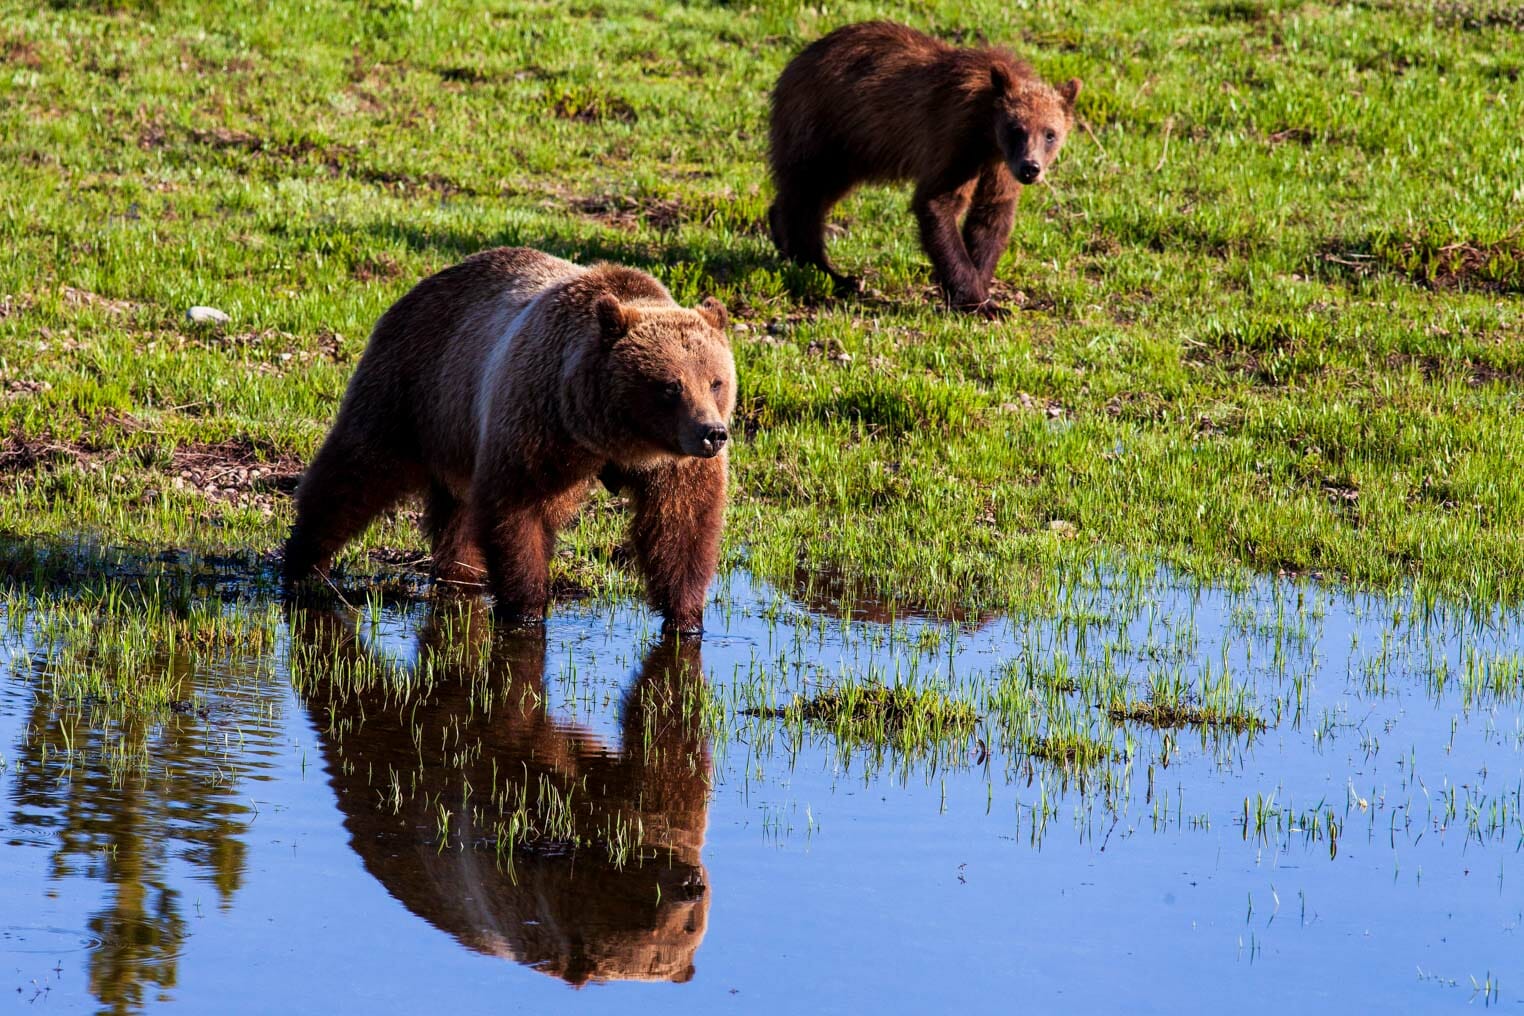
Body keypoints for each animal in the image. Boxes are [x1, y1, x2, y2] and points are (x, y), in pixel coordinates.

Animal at [281, 246, 735, 633]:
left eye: (715, 381)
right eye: (670, 386)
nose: (712, 434)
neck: (612, 439)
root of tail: (420, 285)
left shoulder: (674, 464)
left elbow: (681, 525)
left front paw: (685, 619)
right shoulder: (540, 421)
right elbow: (518, 509)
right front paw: (526, 609)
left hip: (456, 427)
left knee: (457, 508)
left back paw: (461, 574)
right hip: (410, 389)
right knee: (357, 469)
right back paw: (305, 562)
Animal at [767, 20, 1081, 317]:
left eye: (1050, 133)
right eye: (1016, 129)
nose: (1031, 168)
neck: (987, 134)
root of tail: (795, 61)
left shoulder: (999, 167)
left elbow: (991, 216)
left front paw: (980, 286)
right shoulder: (955, 140)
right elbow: (938, 201)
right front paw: (979, 302)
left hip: (852, 151)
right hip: (825, 127)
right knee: (807, 193)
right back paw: (830, 272)